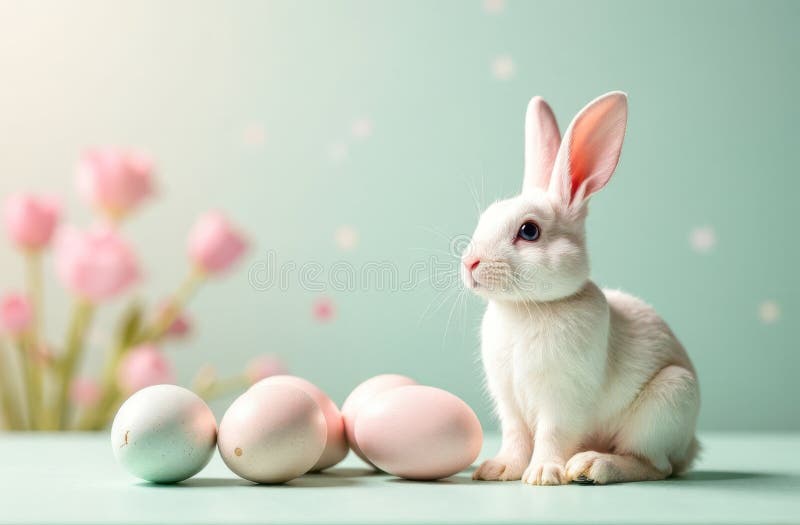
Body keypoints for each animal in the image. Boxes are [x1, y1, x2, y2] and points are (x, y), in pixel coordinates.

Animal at [463, 92, 700, 485]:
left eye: (529, 231)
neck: (530, 306)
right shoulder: (509, 401)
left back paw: (591, 467)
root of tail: (691, 446)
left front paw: (543, 473)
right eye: (485, 219)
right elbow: (515, 437)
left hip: (667, 401)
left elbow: (552, 435)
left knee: (656, 466)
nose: (470, 264)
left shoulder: (562, 399)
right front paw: (499, 469)